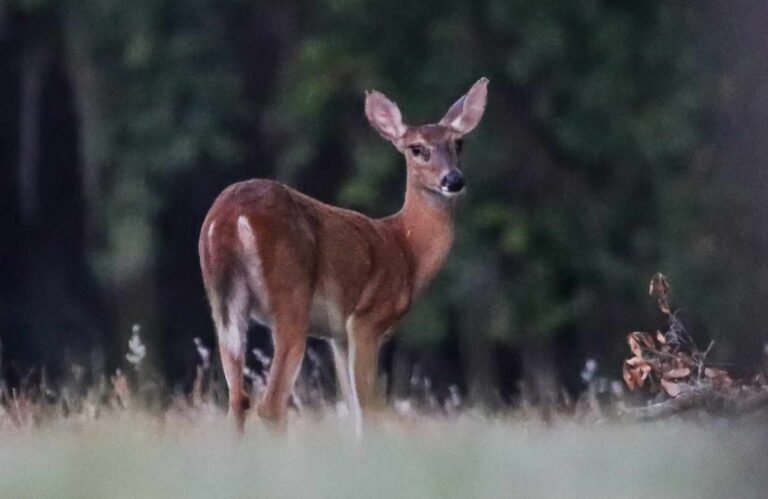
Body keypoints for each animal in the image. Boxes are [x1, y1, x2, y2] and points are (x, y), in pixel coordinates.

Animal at [199, 77, 488, 433]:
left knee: (237, 400)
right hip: (290, 294)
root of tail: (229, 216)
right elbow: (370, 409)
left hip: (224, 302)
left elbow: (353, 409)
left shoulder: (337, 335)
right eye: (417, 149)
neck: (405, 247)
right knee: (270, 405)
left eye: (458, 143)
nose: (453, 180)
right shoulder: (366, 318)